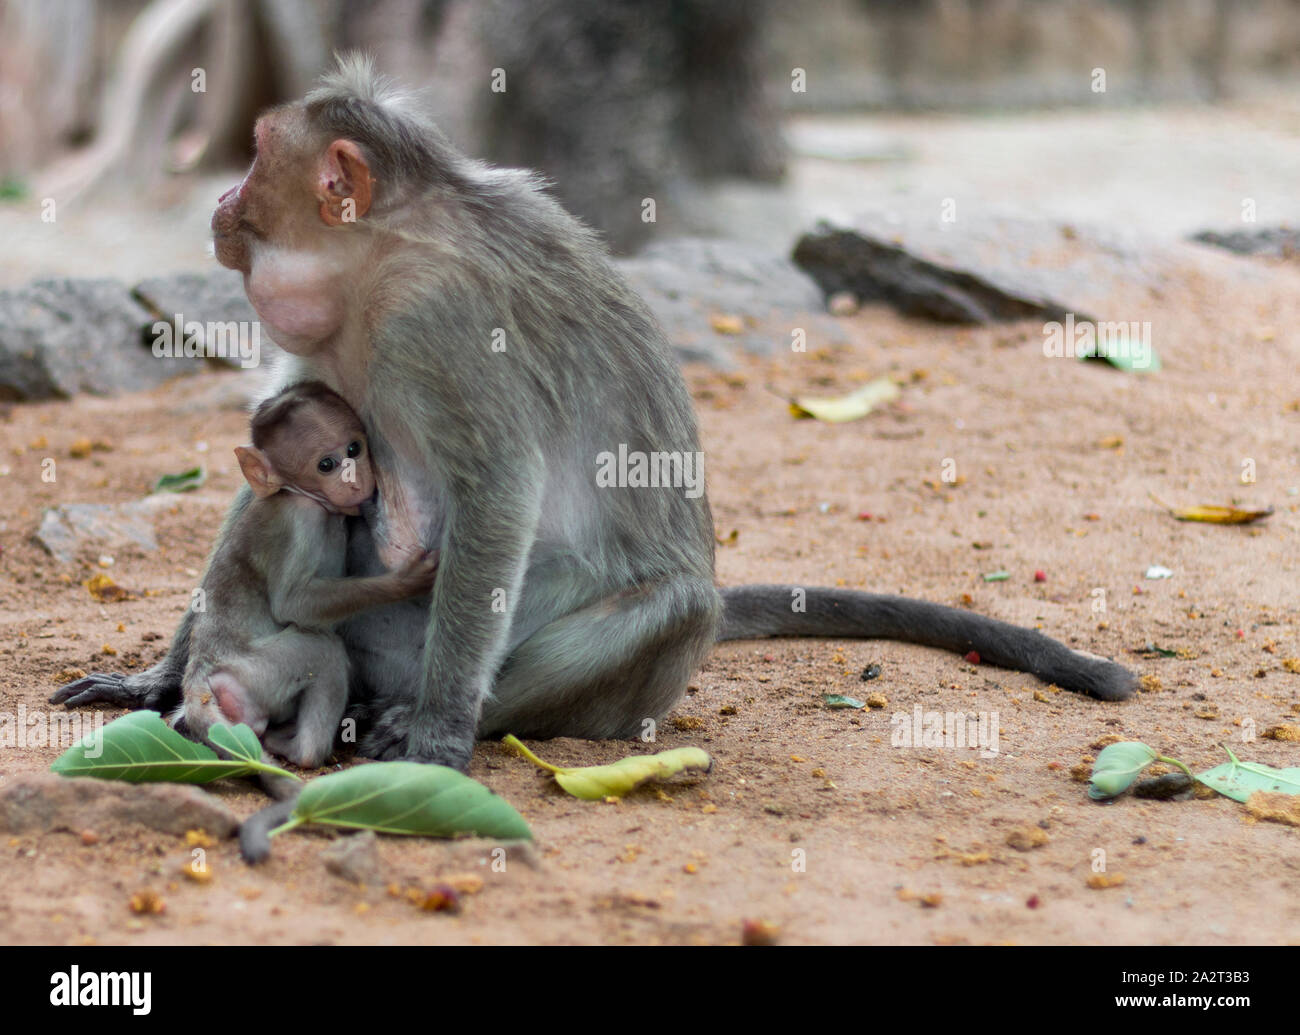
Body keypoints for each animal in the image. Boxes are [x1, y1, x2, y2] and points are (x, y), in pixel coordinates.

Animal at [174, 379, 439, 770]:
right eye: (326, 464)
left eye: (354, 448)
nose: (355, 481)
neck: (301, 495)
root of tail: (199, 675)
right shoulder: (299, 522)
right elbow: (293, 604)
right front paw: (406, 580)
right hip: (256, 674)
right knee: (321, 649)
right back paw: (302, 749)